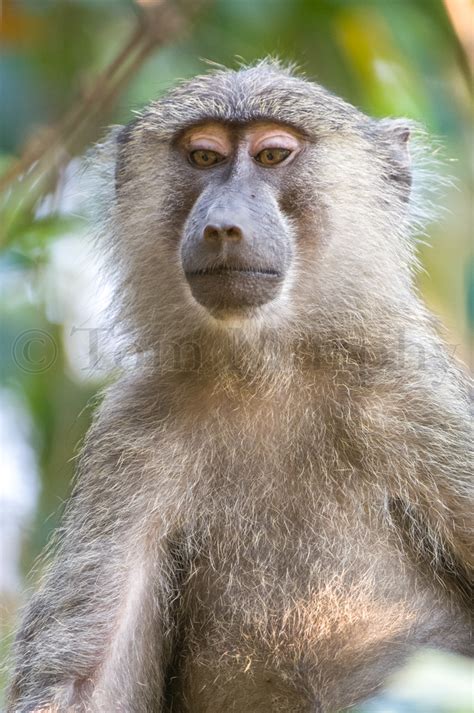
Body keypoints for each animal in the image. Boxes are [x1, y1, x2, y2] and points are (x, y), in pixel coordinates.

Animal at [7, 60, 473, 713]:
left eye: (273, 154)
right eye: (204, 157)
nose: (224, 226)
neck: (265, 371)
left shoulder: (412, 399)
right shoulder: (133, 433)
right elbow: (83, 684)